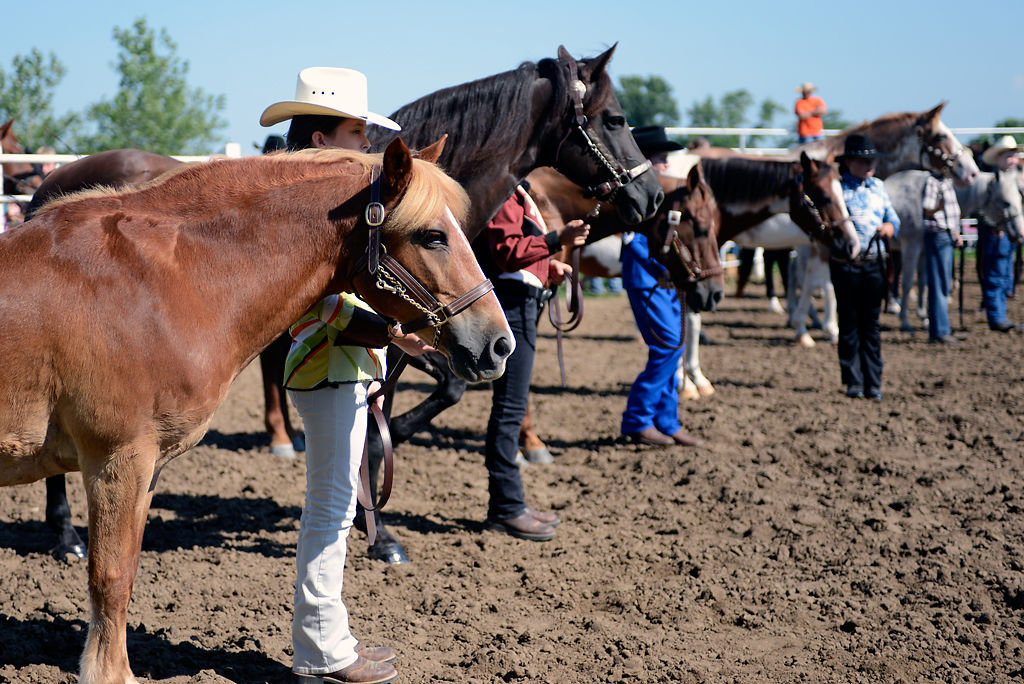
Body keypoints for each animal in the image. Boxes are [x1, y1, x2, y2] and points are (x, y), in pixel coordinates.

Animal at [0, 139, 513, 684]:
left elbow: (126, 569)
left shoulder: (144, 468)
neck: (156, 282)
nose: (500, 344)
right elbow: (111, 577)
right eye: (433, 236)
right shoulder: (117, 459)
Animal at [886, 169, 1024, 332]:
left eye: (1019, 198)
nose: (1020, 234)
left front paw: (924, 318)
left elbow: (923, 284)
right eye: (1006, 202)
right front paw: (905, 322)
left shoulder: (924, 251)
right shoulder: (911, 246)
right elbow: (907, 284)